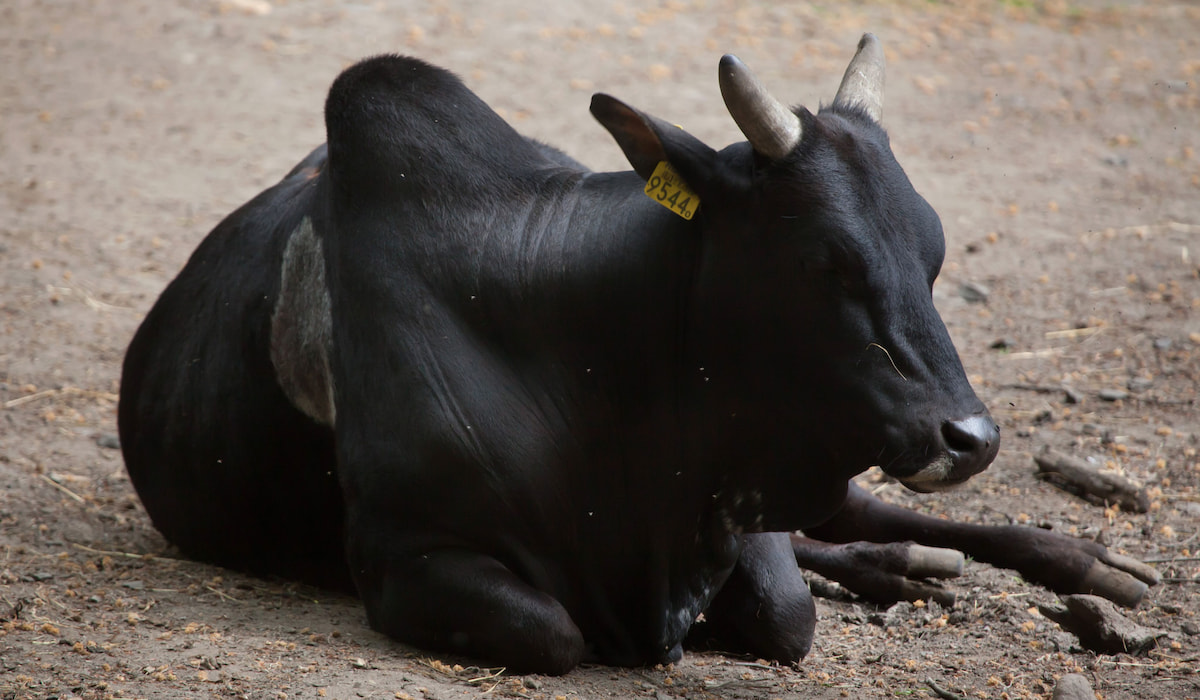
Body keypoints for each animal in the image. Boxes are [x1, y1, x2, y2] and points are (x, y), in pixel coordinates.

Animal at [118, 35, 1158, 675]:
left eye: (934, 251)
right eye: (825, 260)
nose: (969, 437)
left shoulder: (743, 497)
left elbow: (787, 611)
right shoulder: (403, 554)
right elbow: (554, 630)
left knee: (858, 515)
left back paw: (1081, 562)